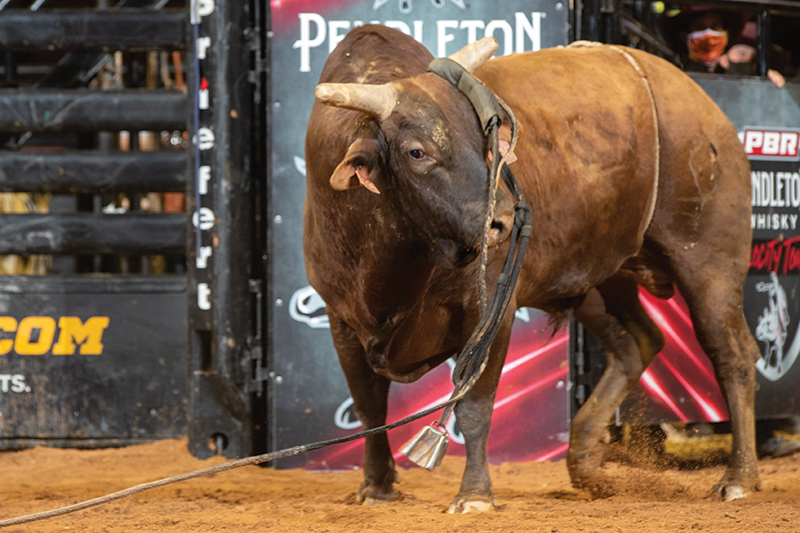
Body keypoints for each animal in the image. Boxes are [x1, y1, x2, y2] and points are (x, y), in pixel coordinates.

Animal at [303, 24, 759, 512]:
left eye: (485, 139)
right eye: (416, 152)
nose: (504, 219)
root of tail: (698, 103)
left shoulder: (492, 312)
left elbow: (474, 405)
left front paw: (475, 494)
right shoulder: (341, 319)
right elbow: (369, 403)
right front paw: (376, 485)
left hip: (709, 261)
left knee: (732, 354)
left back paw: (738, 477)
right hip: (600, 279)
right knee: (636, 342)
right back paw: (585, 461)